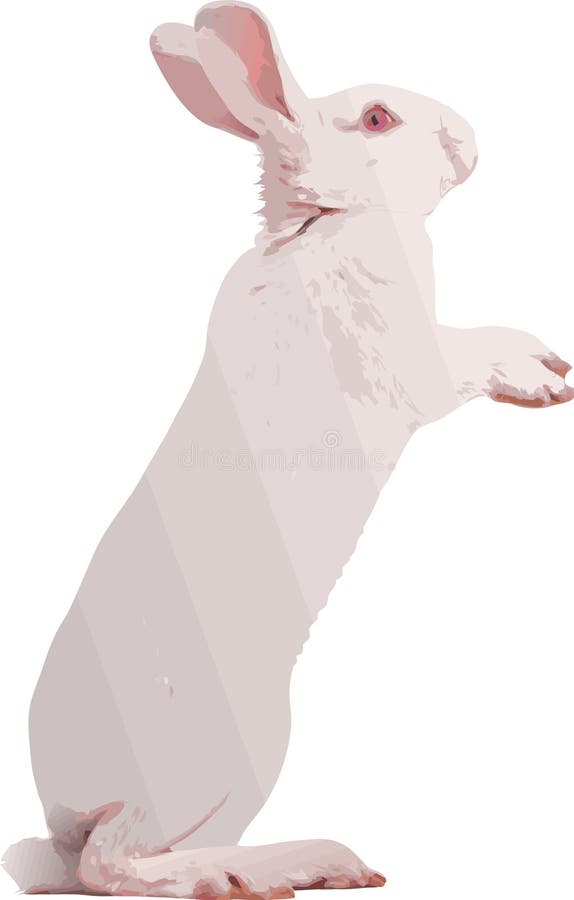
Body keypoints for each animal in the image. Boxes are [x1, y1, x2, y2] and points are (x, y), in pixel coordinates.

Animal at [3, 2, 573, 897]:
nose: (472, 139)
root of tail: (69, 813)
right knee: (115, 866)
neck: (330, 222)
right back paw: (288, 867)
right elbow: (472, 353)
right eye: (377, 119)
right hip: (238, 751)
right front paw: (546, 373)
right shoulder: (416, 360)